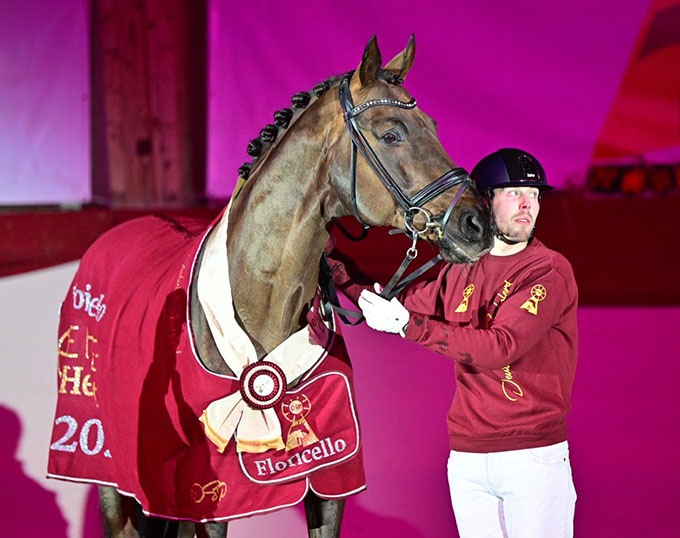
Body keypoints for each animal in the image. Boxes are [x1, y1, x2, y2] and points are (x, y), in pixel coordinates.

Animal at [48, 36, 493, 537]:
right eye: (390, 134)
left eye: (433, 126)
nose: (477, 224)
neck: (262, 307)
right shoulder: (211, 500)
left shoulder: (329, 483)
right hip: (110, 480)